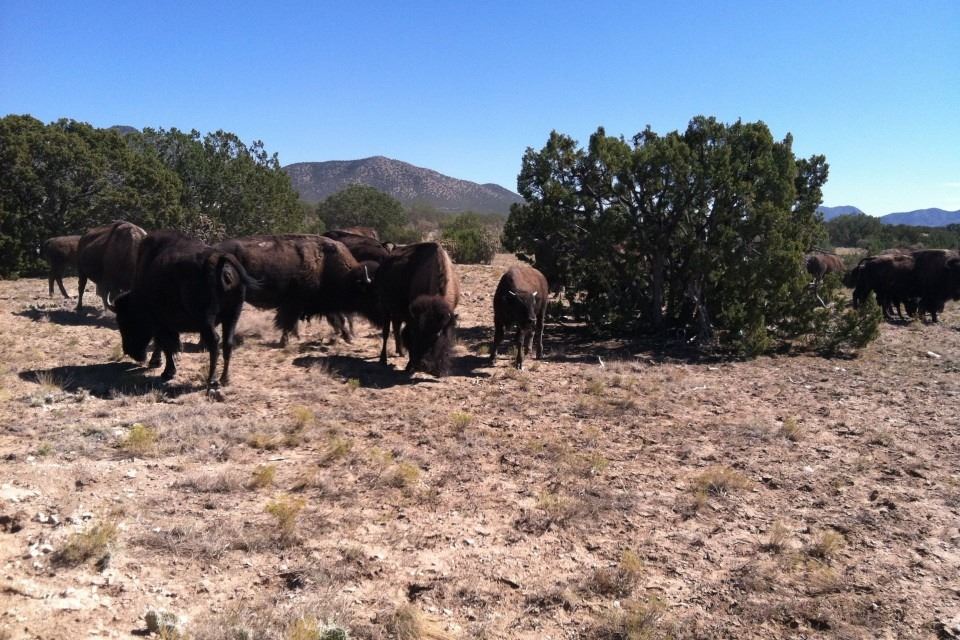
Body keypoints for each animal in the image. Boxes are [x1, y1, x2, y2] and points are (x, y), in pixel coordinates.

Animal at [108, 231, 255, 388]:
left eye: (125, 322)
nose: (129, 351)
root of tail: (218, 260)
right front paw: (159, 364)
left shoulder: (162, 325)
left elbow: (167, 346)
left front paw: (167, 372)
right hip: (232, 315)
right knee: (228, 343)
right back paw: (224, 379)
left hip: (206, 320)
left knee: (214, 342)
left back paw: (211, 380)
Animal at [216, 234, 378, 346]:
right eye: (366, 292)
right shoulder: (293, 303)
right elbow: (287, 323)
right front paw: (284, 342)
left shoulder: (324, 305)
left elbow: (338, 320)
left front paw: (348, 338)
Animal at [374, 242, 459, 376]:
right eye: (416, 333)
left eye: (438, 334)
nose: (423, 365)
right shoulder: (411, 320)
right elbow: (408, 338)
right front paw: (410, 366)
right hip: (385, 308)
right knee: (386, 332)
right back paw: (383, 360)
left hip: (396, 312)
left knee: (396, 328)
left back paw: (400, 352)